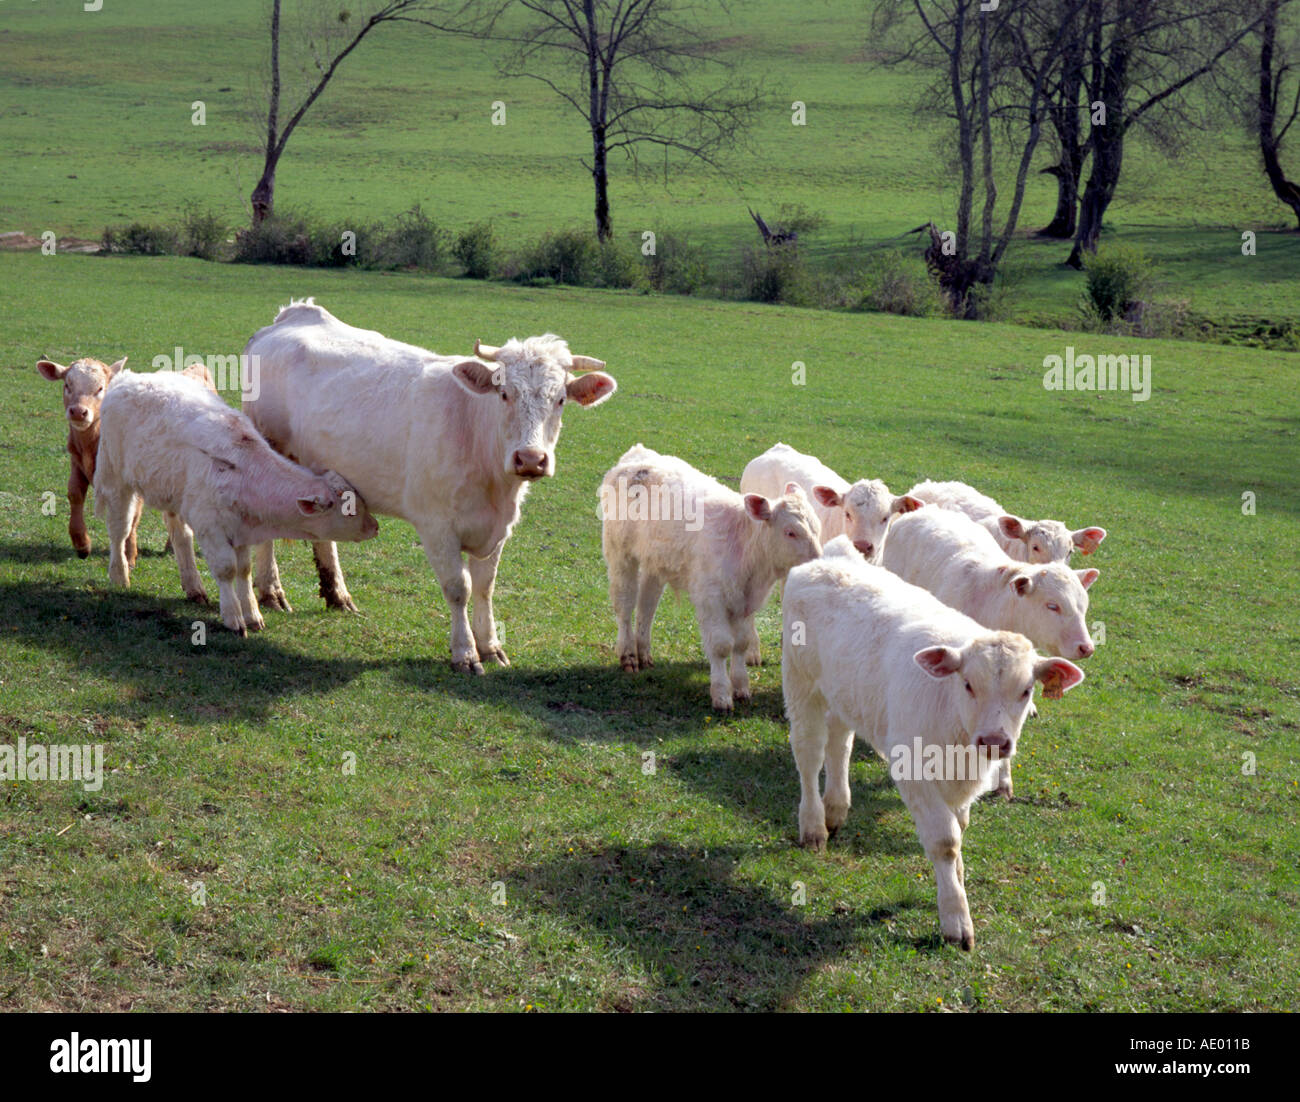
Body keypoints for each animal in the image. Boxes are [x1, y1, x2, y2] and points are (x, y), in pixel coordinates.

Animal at [94, 368, 378, 635]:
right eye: (350, 510)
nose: (374, 526)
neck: (245, 471)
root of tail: (128, 378)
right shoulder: (211, 527)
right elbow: (226, 569)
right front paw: (234, 618)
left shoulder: (241, 530)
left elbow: (244, 570)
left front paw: (252, 614)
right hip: (116, 479)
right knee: (118, 529)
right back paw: (119, 575)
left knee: (181, 537)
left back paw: (194, 587)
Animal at [242, 299, 616, 671]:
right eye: (504, 394)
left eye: (560, 400)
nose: (530, 458)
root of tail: (295, 313)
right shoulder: (436, 525)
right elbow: (458, 587)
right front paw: (465, 652)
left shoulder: (498, 529)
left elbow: (485, 587)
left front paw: (490, 646)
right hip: (268, 447)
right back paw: (271, 592)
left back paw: (337, 595)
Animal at [600, 443, 821, 710]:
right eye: (790, 532)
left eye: (817, 527)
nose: (819, 560)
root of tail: (637, 454)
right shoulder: (711, 598)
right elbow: (721, 646)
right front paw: (722, 694)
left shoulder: (745, 602)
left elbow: (742, 643)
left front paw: (741, 687)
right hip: (620, 553)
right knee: (625, 604)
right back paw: (629, 655)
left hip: (655, 562)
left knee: (647, 605)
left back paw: (644, 653)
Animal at [782, 537, 1085, 949]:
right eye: (968, 684)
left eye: (1026, 690)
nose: (994, 741)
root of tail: (832, 558)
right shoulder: (912, 769)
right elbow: (945, 840)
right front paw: (956, 917)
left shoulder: (961, 784)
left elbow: (960, 830)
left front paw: (957, 880)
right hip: (801, 683)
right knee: (809, 753)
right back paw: (813, 825)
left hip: (847, 694)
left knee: (839, 744)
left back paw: (836, 807)